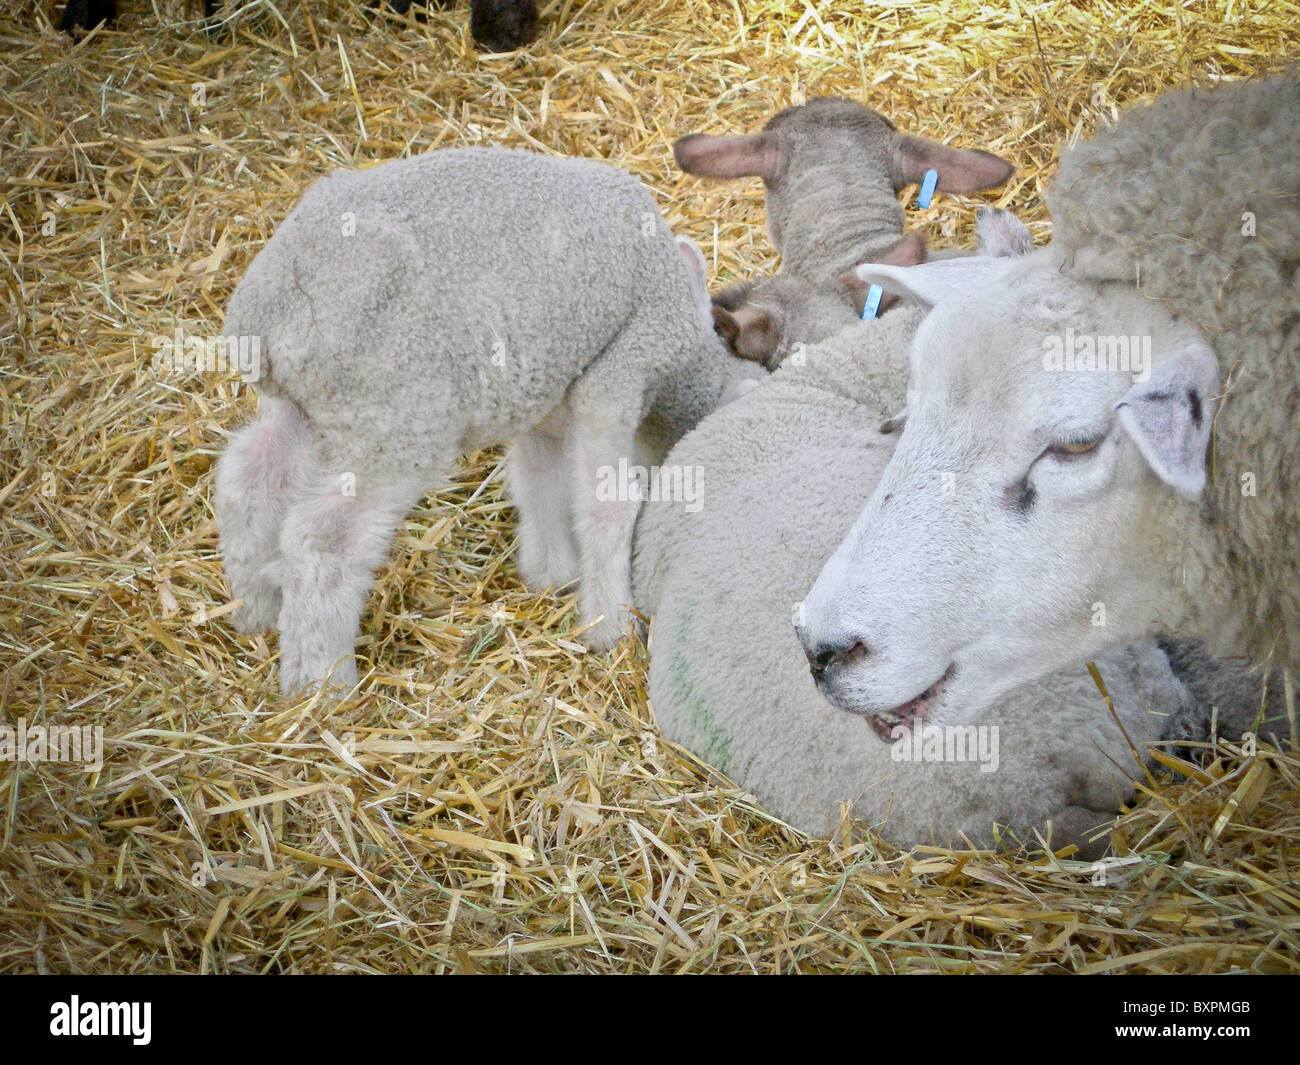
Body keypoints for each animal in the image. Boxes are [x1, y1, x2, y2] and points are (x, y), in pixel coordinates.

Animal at [214, 146, 760, 695]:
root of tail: (271, 311)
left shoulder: (544, 400)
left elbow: (539, 483)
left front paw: (551, 575)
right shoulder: (617, 372)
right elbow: (606, 505)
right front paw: (613, 628)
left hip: (308, 404)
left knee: (250, 480)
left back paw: (255, 613)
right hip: (396, 418)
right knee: (323, 542)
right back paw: (323, 685)